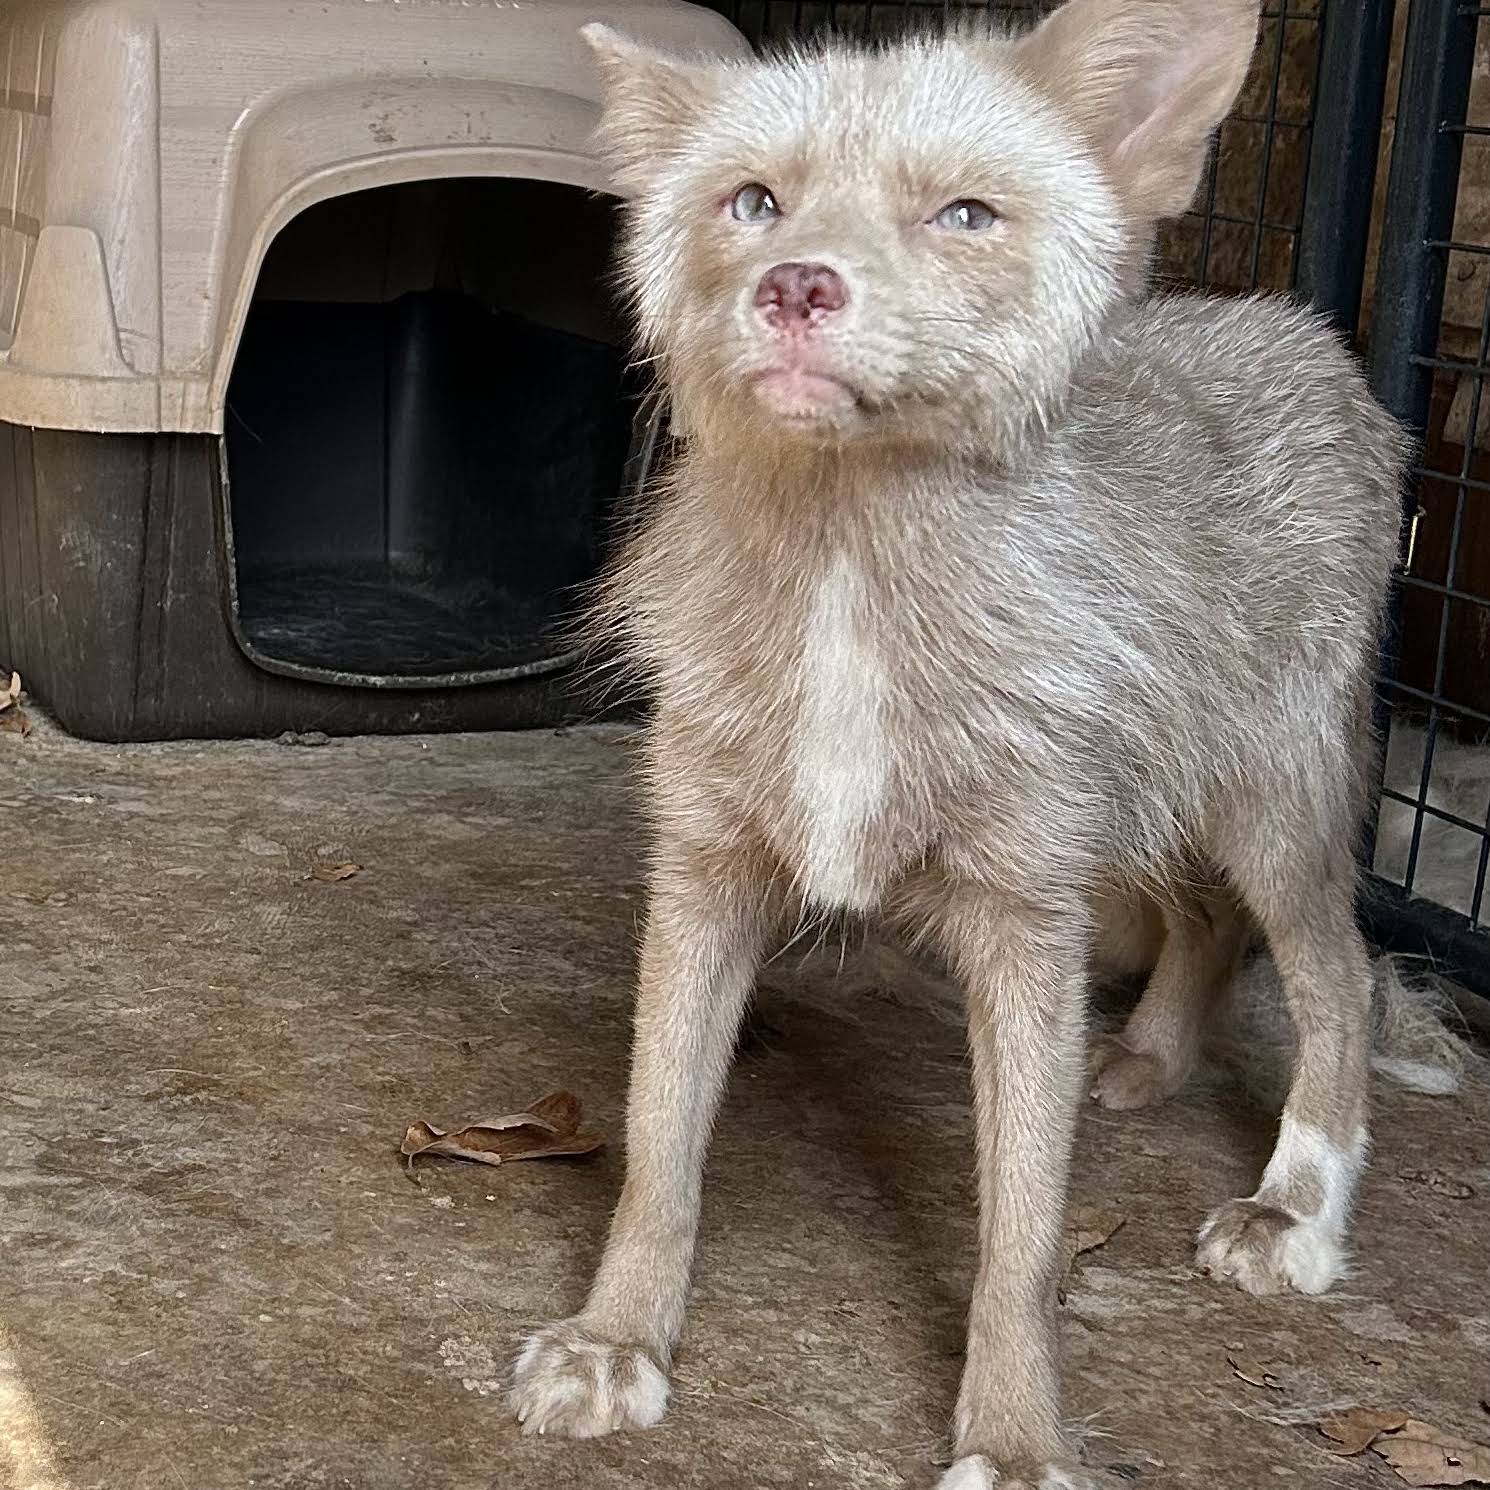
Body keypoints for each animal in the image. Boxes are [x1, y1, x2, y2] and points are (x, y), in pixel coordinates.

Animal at [509, 4, 1407, 1486]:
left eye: (963, 215)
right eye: (752, 203)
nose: (796, 289)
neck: (850, 589)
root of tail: (1295, 328)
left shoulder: (1021, 915)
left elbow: (1021, 1238)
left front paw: (1013, 1433)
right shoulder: (702, 874)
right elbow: (656, 1152)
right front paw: (616, 1339)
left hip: (1261, 805)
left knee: (1340, 973)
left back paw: (1297, 1208)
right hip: (1138, 804)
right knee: (1203, 920)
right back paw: (1148, 1057)